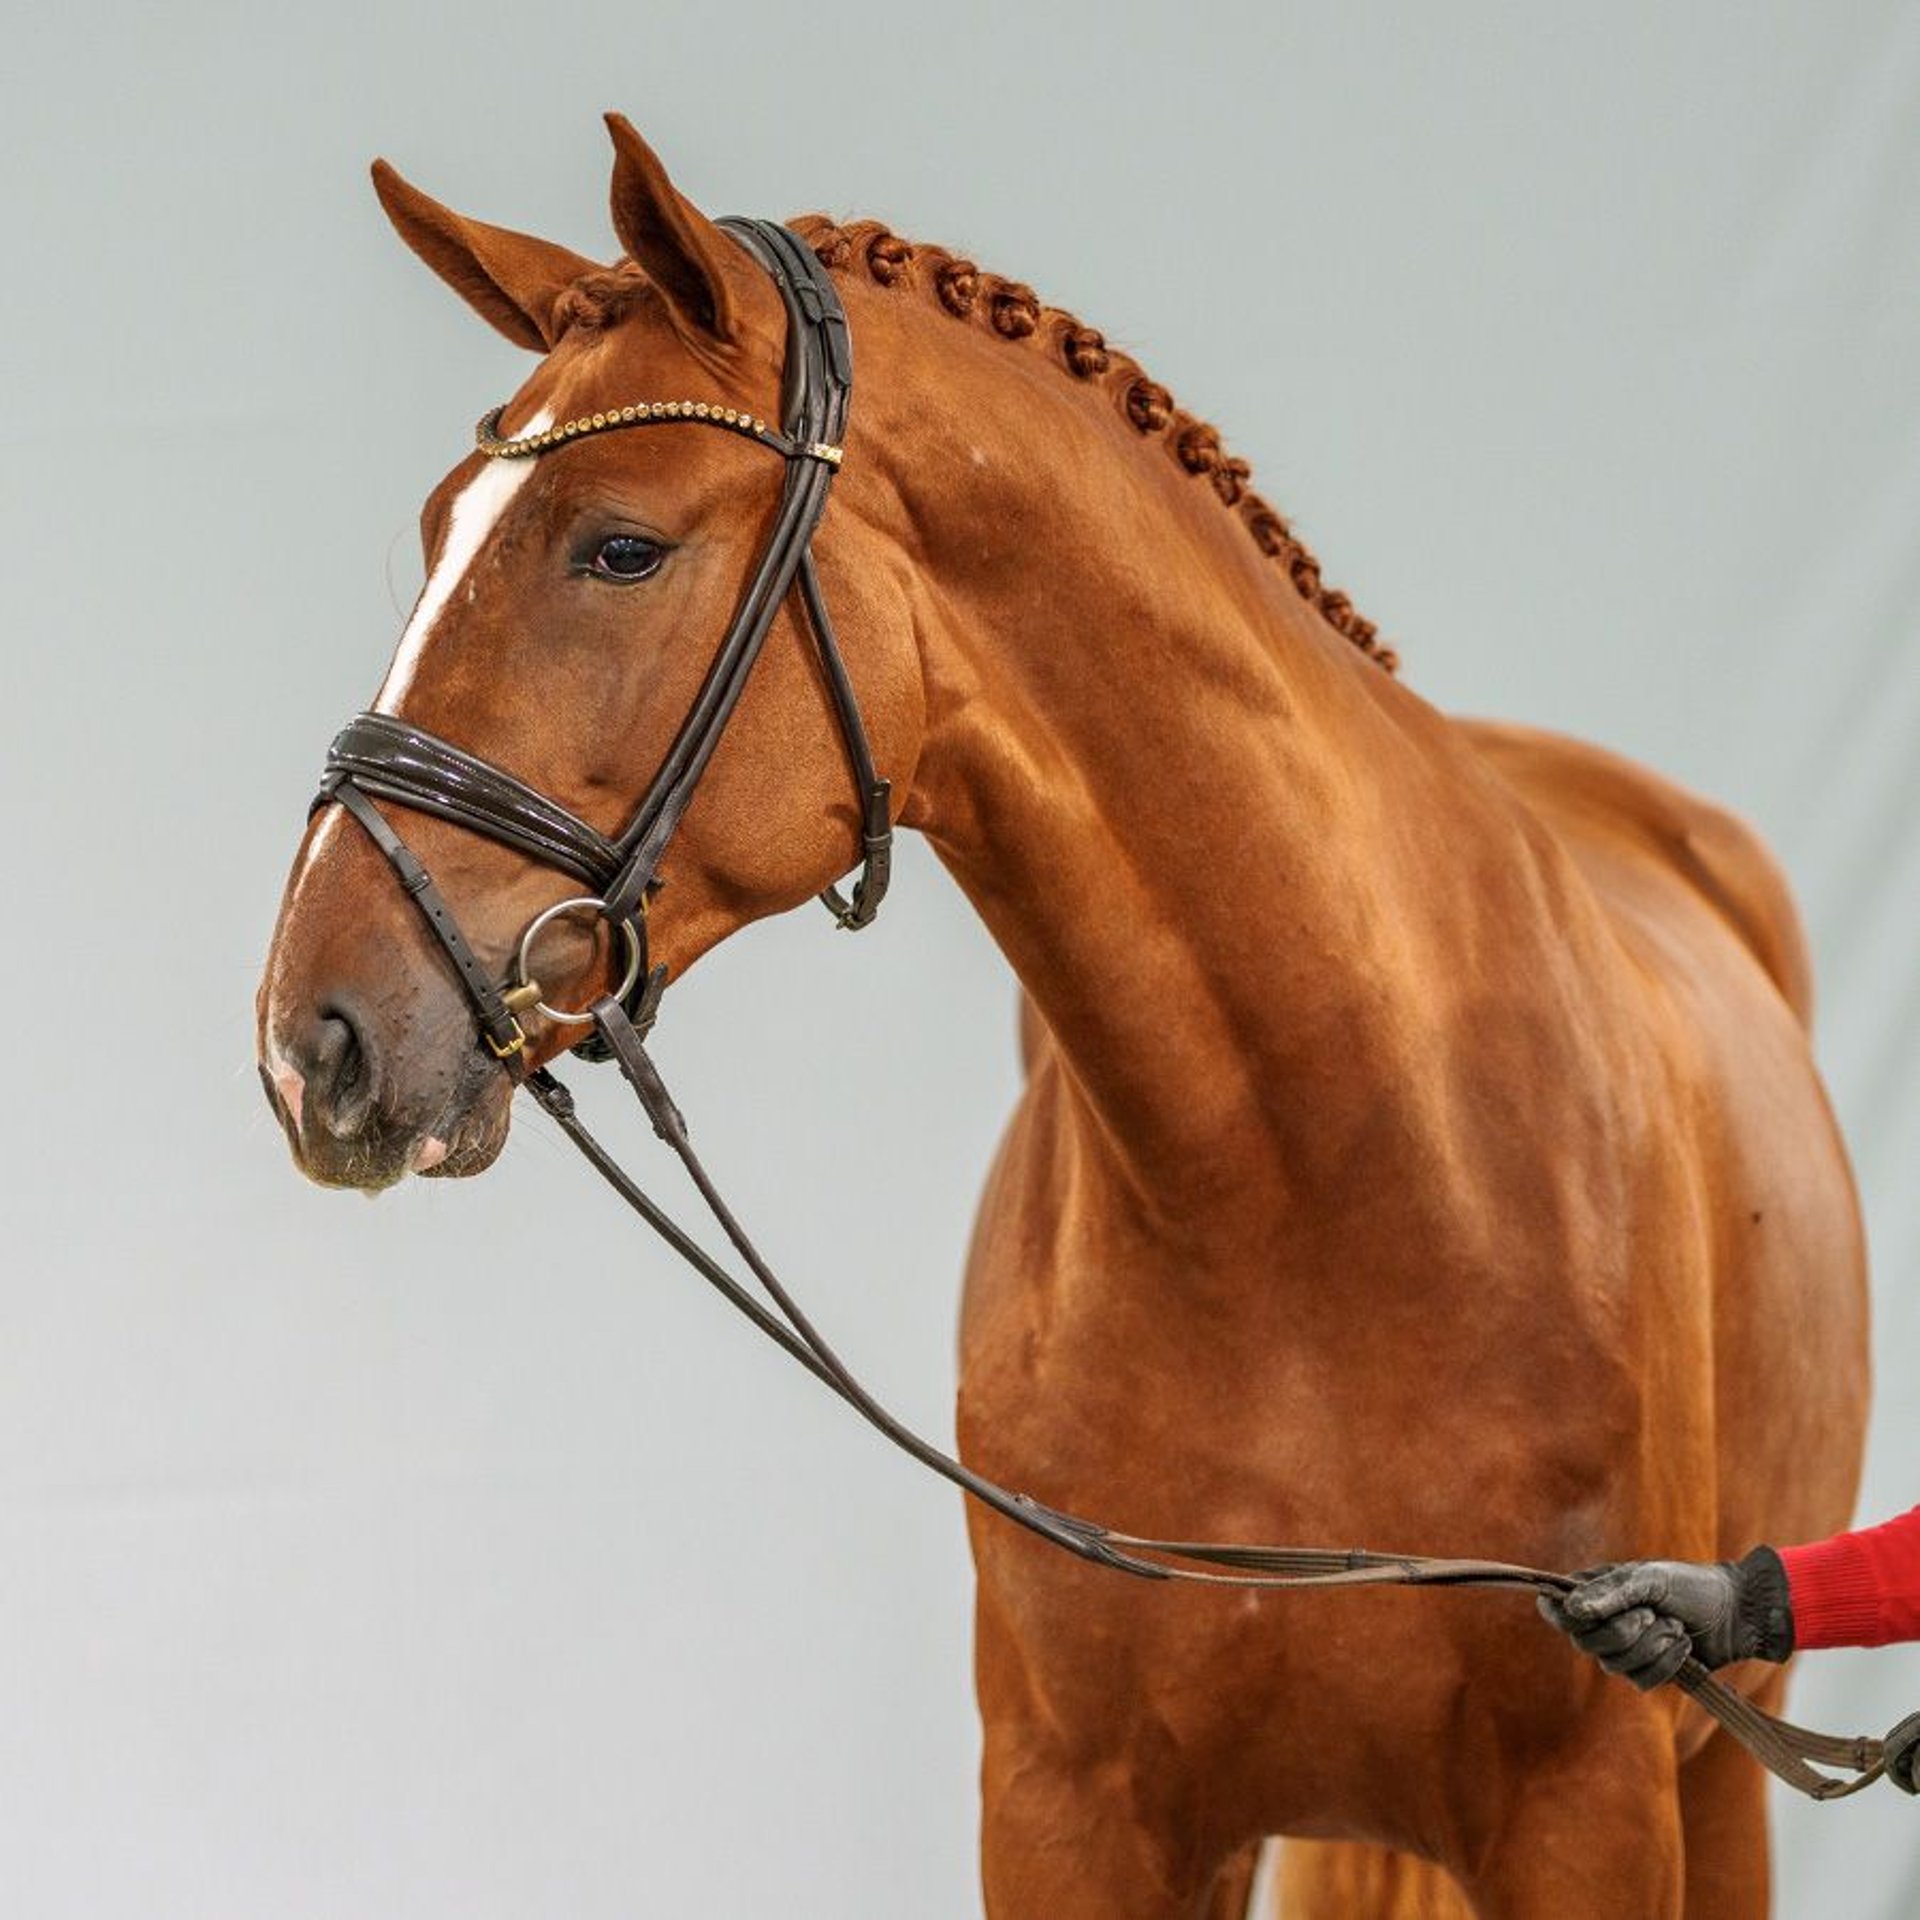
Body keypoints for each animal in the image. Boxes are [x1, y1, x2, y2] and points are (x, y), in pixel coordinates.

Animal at [256, 116, 1869, 1918]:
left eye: (622, 546)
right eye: (433, 531)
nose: (313, 1034)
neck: (1328, 1181)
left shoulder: (1591, 1814)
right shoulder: (1068, 1814)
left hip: (1718, 1790)